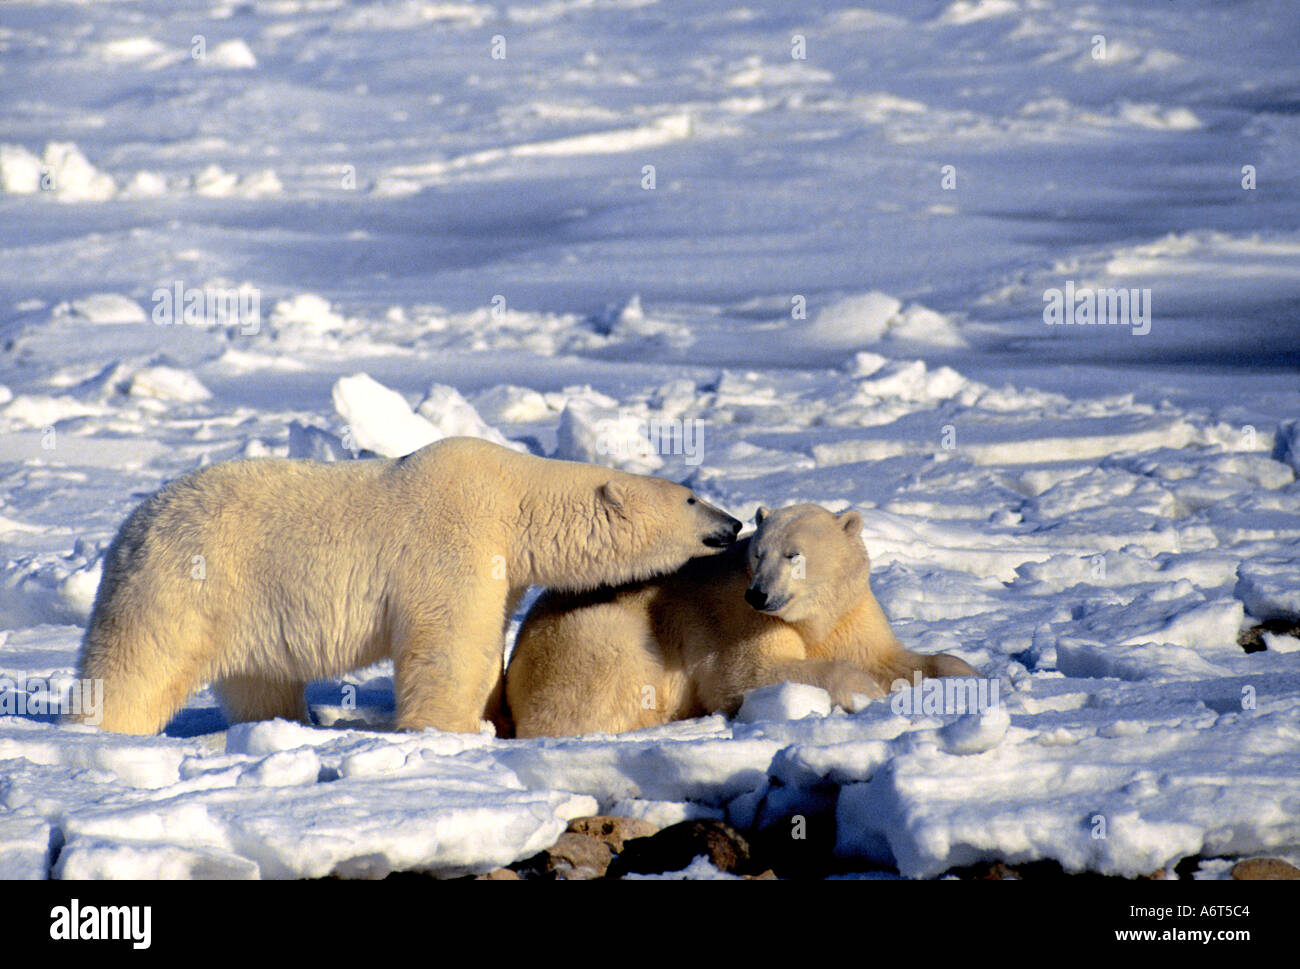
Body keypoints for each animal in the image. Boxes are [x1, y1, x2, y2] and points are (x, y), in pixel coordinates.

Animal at [75, 436, 742, 735]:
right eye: (692, 497)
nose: (733, 523)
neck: (513, 498)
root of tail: (132, 526)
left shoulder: (504, 568)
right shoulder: (456, 542)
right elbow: (450, 646)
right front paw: (451, 730)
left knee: (259, 681)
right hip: (187, 583)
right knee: (139, 661)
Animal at [505, 503, 979, 737]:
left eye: (793, 554)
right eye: (757, 553)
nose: (759, 593)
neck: (808, 617)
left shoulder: (849, 612)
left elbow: (888, 656)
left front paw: (968, 678)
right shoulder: (736, 616)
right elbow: (747, 674)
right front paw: (868, 693)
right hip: (592, 632)